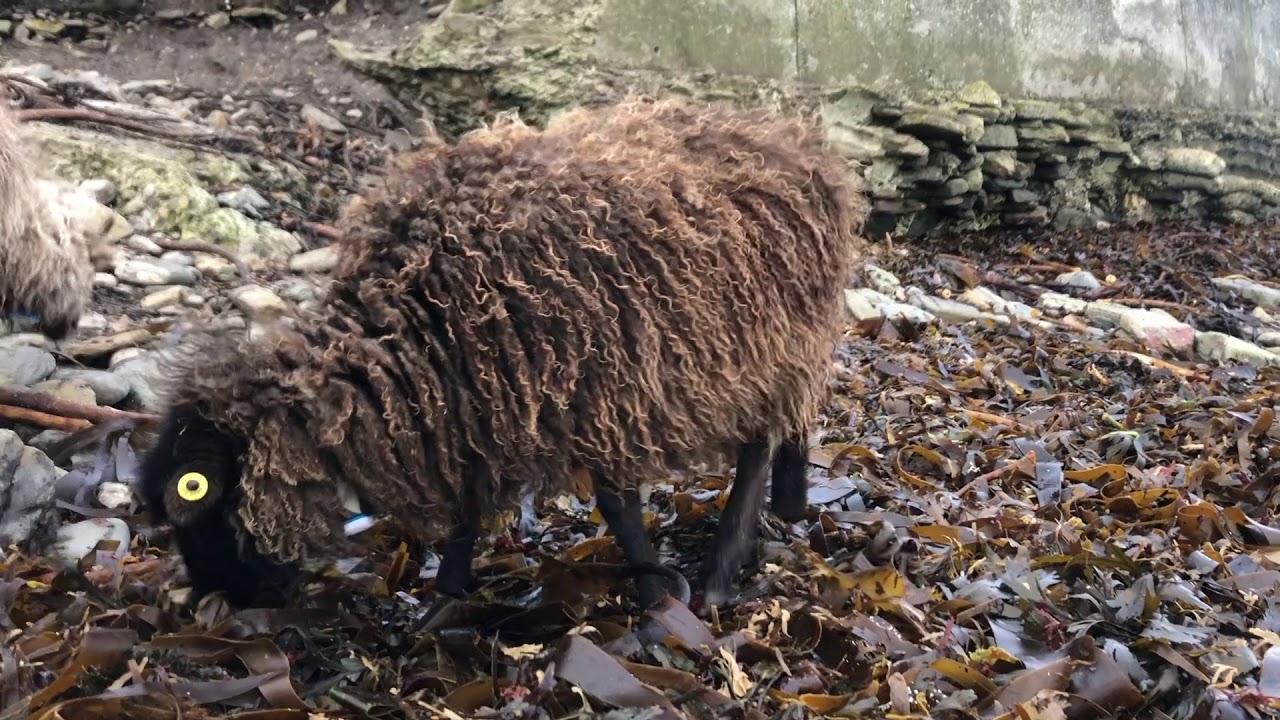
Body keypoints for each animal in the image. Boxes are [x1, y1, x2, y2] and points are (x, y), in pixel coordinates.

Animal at [138, 96, 868, 612]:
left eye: (193, 496)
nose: (217, 600)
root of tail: (801, 143)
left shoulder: (598, 392)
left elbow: (616, 506)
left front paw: (656, 594)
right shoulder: (471, 406)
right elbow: (467, 509)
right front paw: (445, 600)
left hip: (772, 345)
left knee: (759, 445)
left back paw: (722, 569)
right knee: (794, 426)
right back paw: (791, 507)